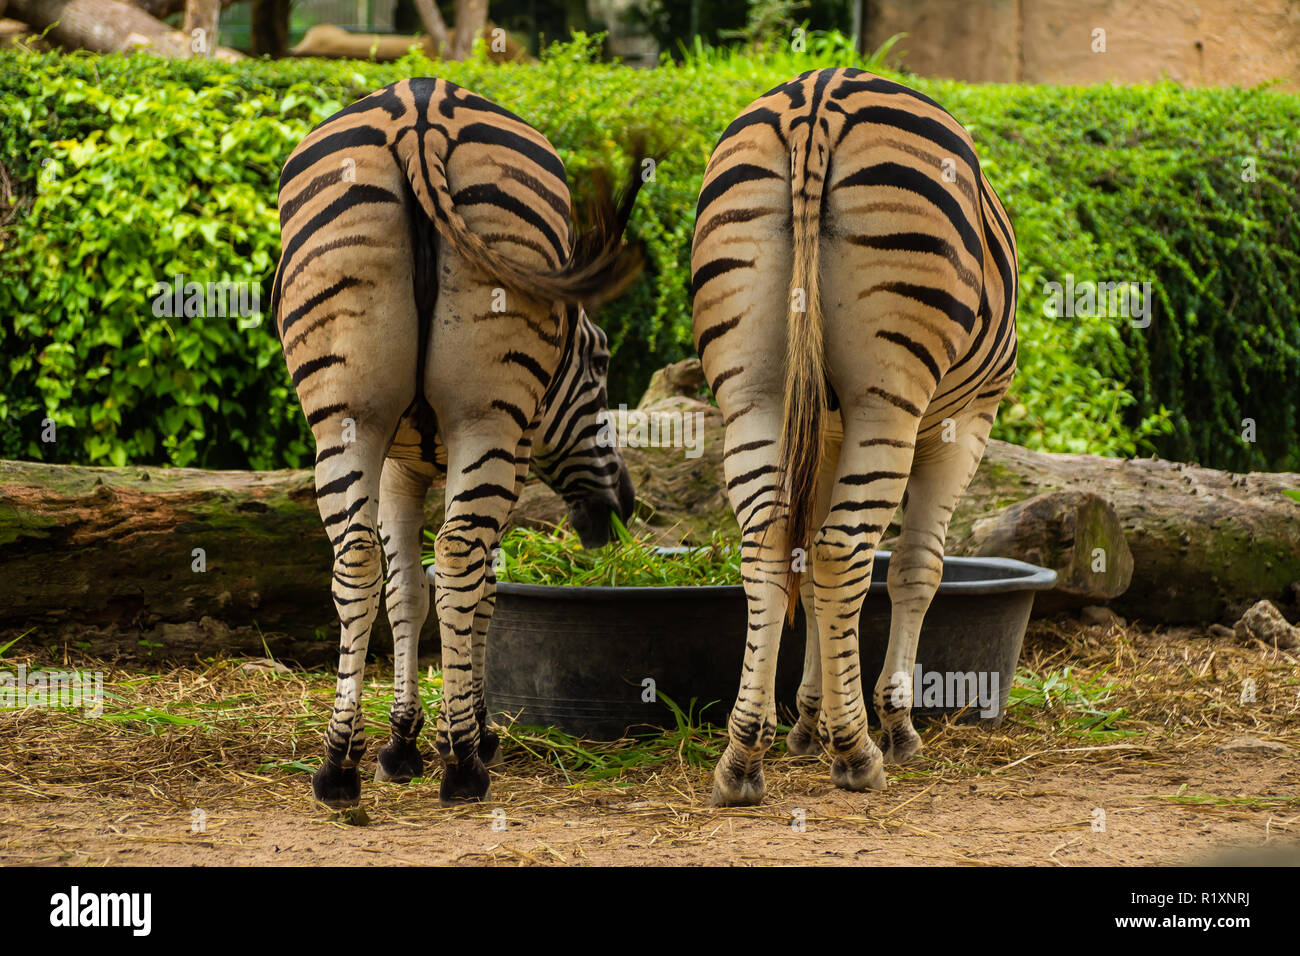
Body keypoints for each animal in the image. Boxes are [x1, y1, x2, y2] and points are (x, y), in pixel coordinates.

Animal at [271, 78, 644, 808]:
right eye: (600, 362)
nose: (625, 505)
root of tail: (420, 108)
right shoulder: (490, 457)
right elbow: (473, 590)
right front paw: (452, 734)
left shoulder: (396, 464)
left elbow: (406, 589)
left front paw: (403, 739)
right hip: (487, 422)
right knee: (460, 556)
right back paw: (465, 767)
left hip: (349, 415)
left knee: (359, 559)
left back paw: (339, 766)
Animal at [691, 67, 1018, 806]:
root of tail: (817, 97)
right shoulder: (963, 426)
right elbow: (916, 568)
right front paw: (892, 725)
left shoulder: (822, 433)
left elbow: (805, 575)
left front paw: (803, 723)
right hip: (887, 405)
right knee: (844, 553)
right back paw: (859, 753)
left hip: (752, 398)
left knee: (768, 549)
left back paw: (742, 758)